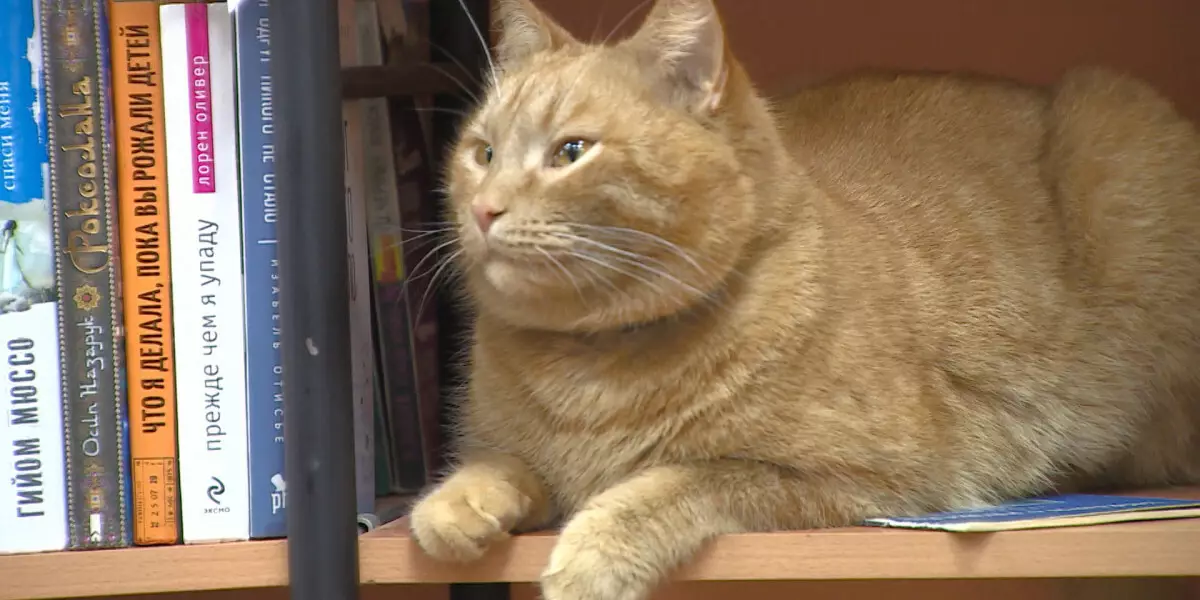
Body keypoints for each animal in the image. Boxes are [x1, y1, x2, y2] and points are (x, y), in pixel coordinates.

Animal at [410, 0, 1200, 597]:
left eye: (571, 152)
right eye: (482, 152)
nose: (482, 209)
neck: (590, 369)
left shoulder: (851, 481)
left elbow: (674, 481)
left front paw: (592, 553)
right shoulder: (515, 449)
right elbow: (499, 462)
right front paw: (454, 503)